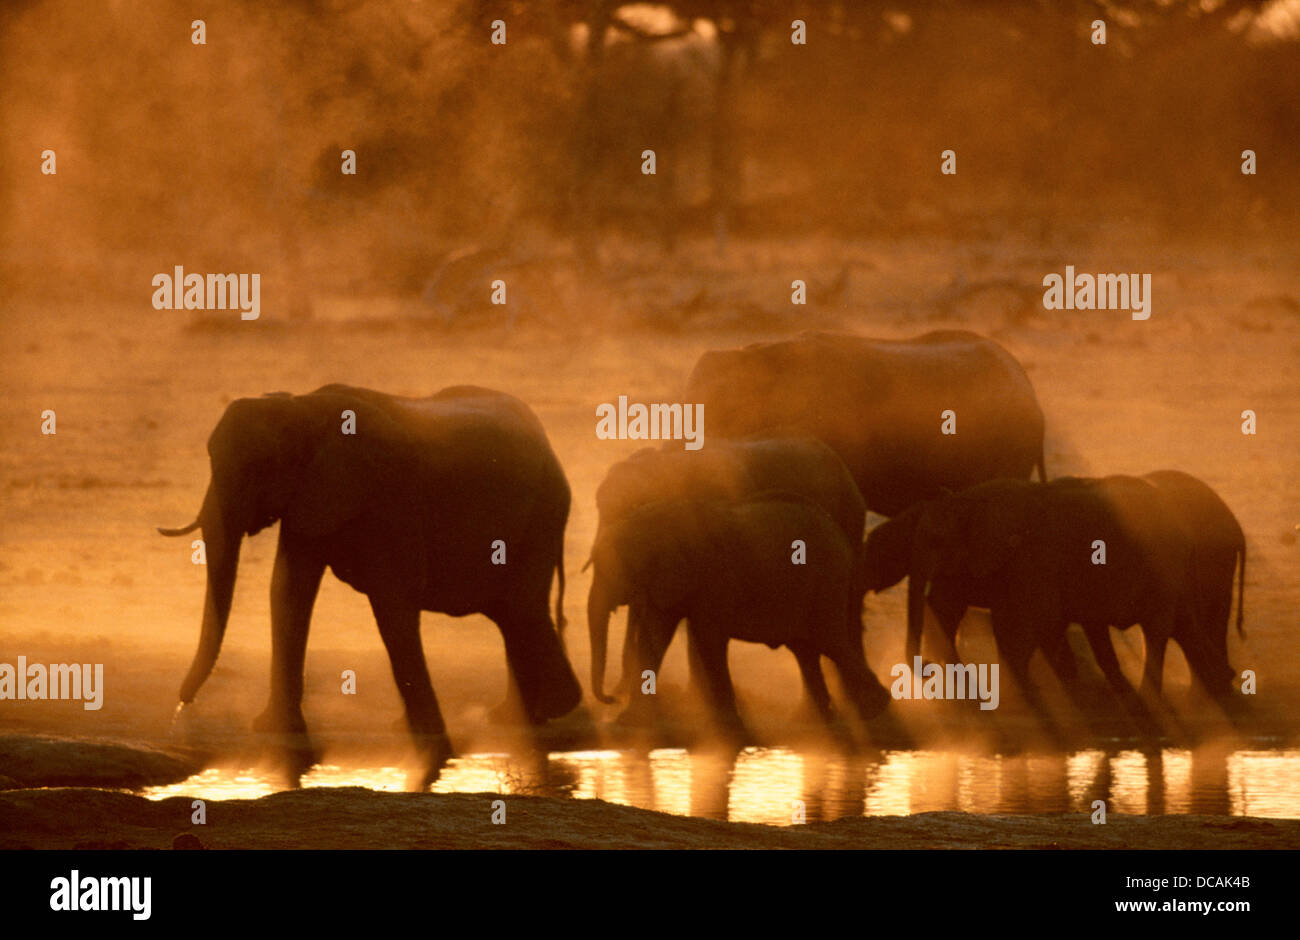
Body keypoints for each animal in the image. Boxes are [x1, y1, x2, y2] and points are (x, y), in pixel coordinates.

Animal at [158, 384, 581, 788]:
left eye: (258, 466)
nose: (182, 705)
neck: (304, 407)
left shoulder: (388, 498)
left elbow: (392, 605)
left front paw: (433, 751)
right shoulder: (311, 497)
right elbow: (289, 591)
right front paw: (278, 735)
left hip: (544, 513)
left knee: (522, 609)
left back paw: (536, 716)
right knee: (515, 616)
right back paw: (531, 714)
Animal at [586, 492, 892, 734]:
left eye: (614, 572)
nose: (611, 699)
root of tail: (840, 533)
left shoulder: (713, 577)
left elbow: (709, 639)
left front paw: (729, 727)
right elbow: (654, 639)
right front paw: (629, 721)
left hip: (827, 579)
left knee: (829, 641)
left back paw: (873, 709)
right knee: (805, 649)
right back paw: (812, 721)